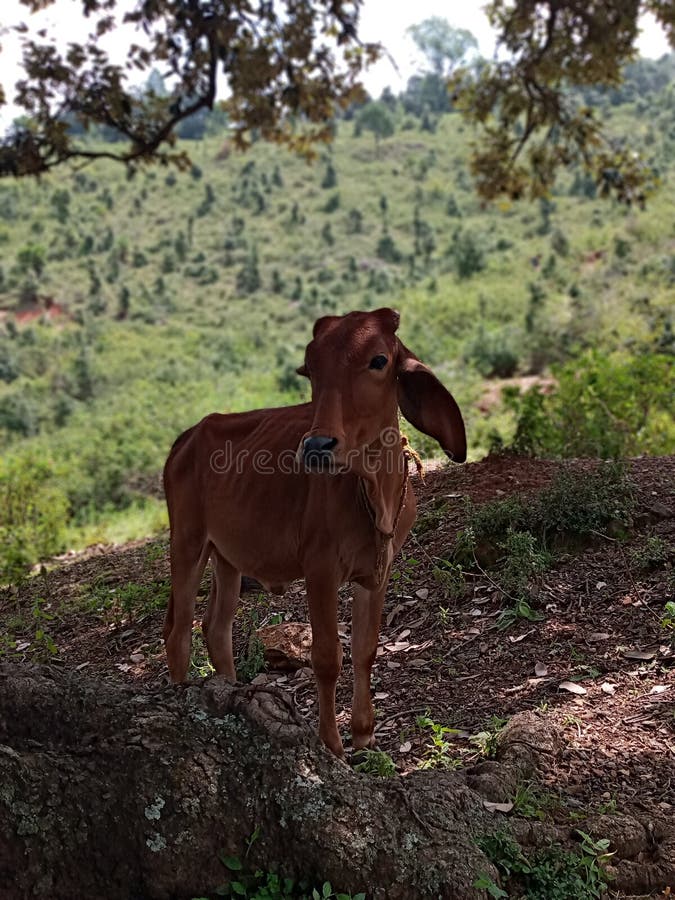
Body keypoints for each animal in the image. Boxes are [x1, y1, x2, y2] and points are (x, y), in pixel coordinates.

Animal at [163, 307, 466, 757]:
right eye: (310, 370)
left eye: (379, 360)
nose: (317, 446)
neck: (374, 488)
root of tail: (186, 438)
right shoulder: (320, 570)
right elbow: (327, 658)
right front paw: (332, 744)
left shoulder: (377, 571)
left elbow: (365, 649)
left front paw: (364, 732)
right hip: (187, 542)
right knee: (179, 630)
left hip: (227, 557)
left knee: (215, 627)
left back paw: (231, 692)